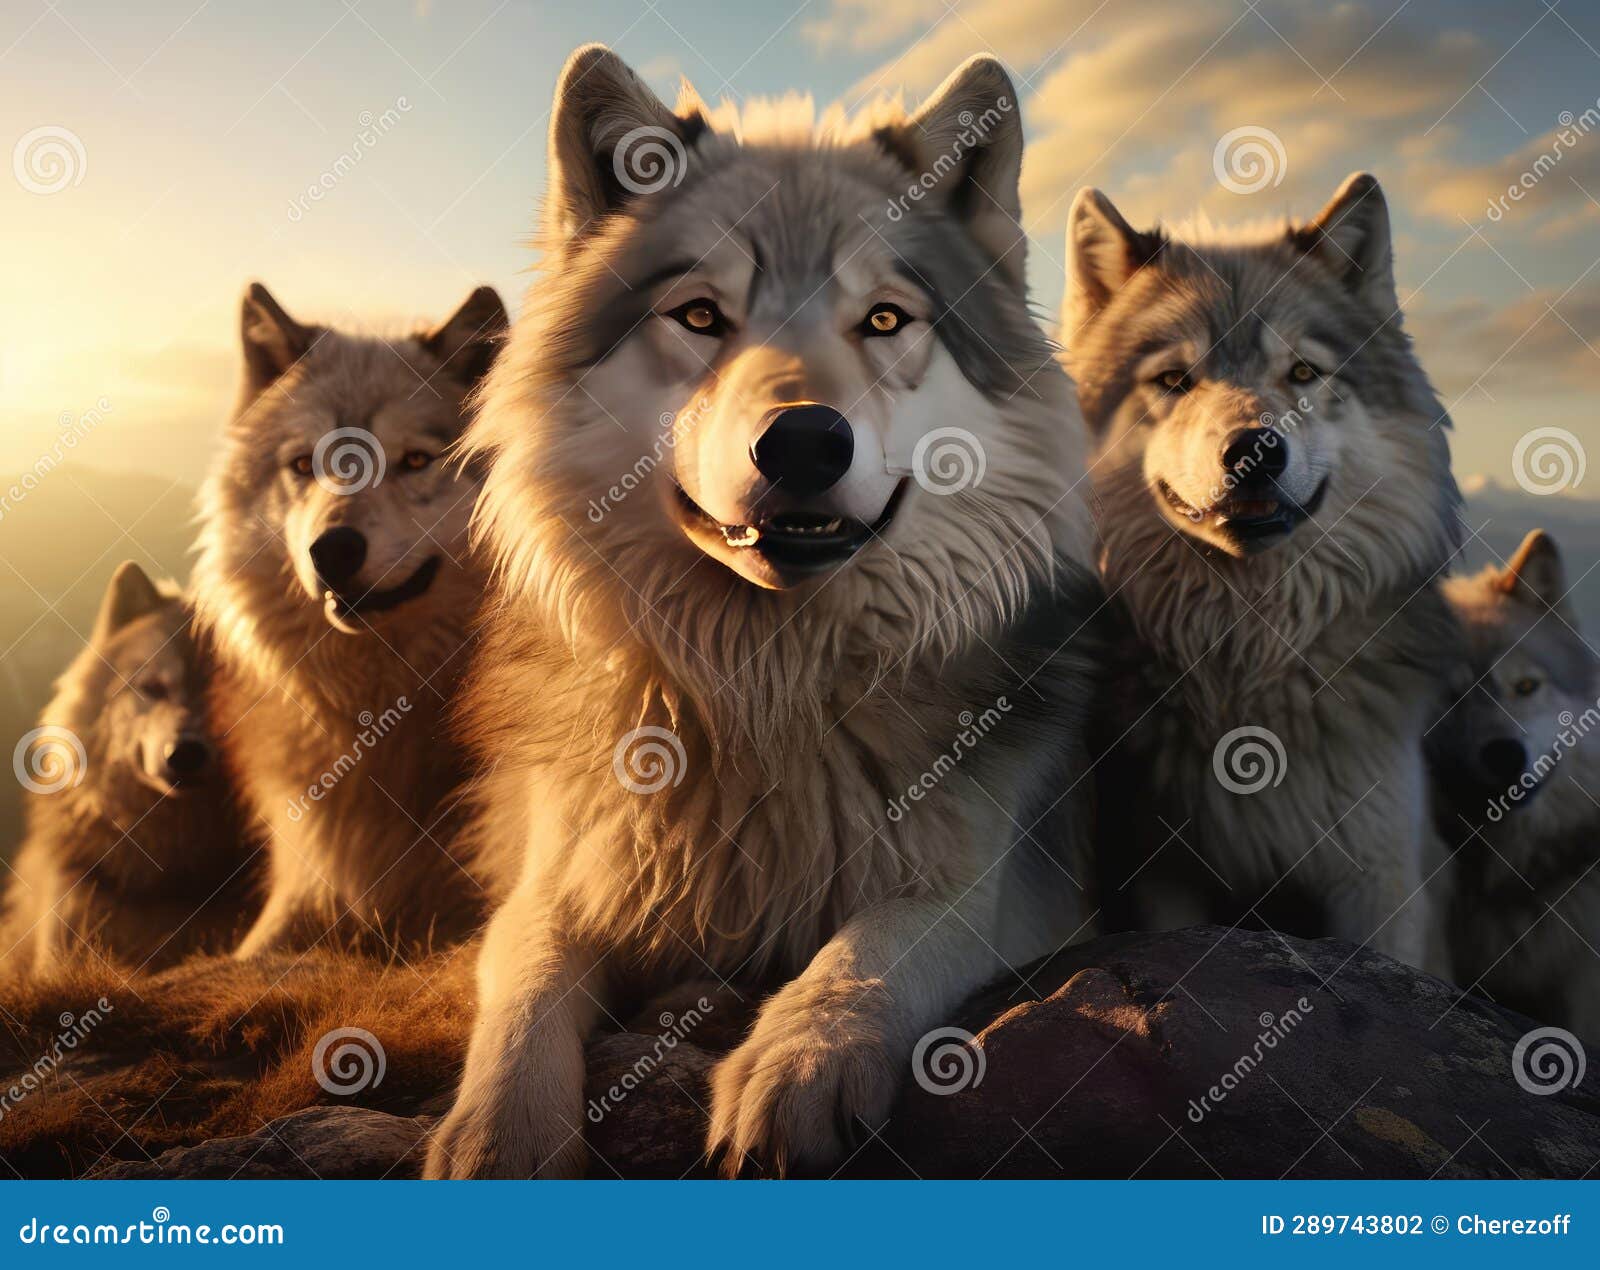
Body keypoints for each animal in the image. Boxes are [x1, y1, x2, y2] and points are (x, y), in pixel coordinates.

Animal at [425, 45, 1101, 1178]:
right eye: (701, 316)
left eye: (884, 319)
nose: (803, 441)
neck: (766, 685)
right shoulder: (561, 880)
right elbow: (521, 1000)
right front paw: (498, 1139)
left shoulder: (996, 885)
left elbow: (873, 950)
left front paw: (800, 1065)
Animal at [1069, 174, 1462, 969]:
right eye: (1174, 379)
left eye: (1303, 372)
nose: (1255, 450)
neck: (1249, 655)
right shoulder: (1164, 872)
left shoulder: (1380, 879)